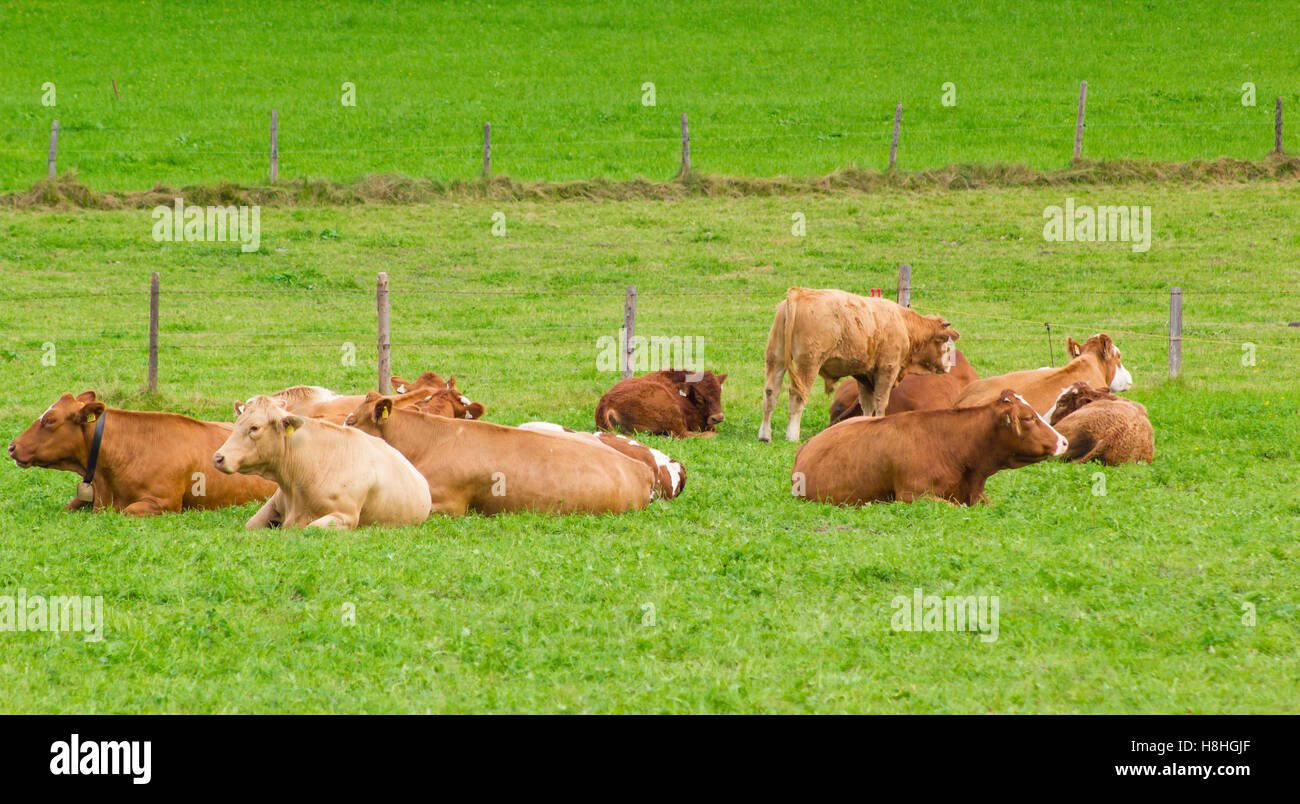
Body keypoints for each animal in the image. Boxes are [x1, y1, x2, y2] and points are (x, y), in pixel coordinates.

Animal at [213, 395, 431, 529]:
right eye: (237, 423)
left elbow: (312, 528)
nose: (218, 458)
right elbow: (251, 524)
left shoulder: (345, 517)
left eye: (255, 427)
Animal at [758, 288, 959, 443]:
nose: (949, 366)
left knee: (771, 393)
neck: (902, 323)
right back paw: (792, 435)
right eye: (944, 341)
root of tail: (800, 293)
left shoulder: (864, 375)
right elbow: (881, 402)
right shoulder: (887, 369)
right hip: (808, 364)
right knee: (797, 395)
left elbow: (867, 405)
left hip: (776, 358)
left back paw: (765, 435)